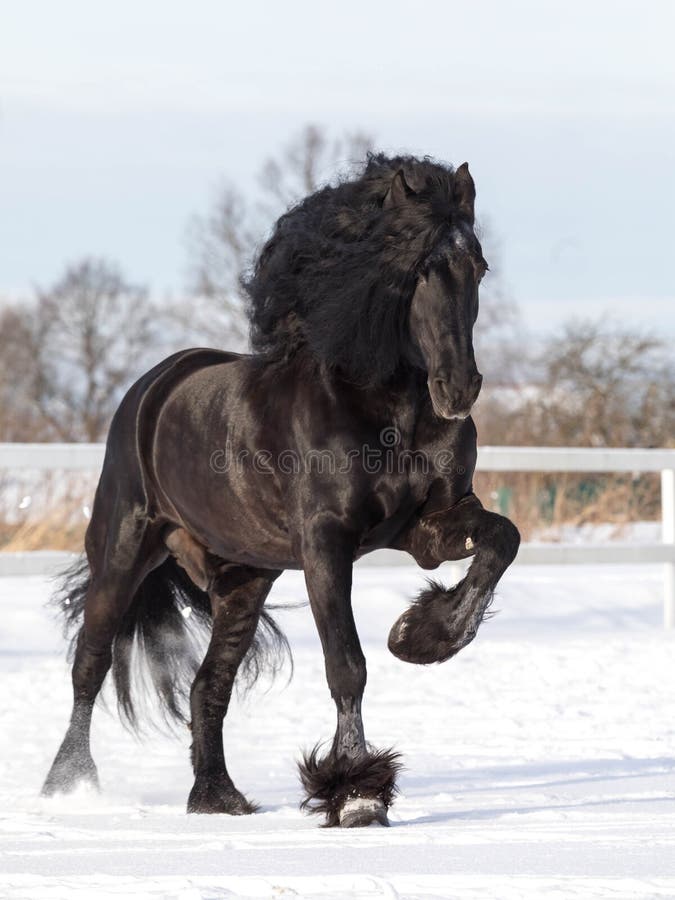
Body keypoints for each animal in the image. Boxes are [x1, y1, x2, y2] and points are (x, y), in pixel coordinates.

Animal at [42, 153, 520, 828]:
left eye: (477, 265)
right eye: (416, 270)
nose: (459, 389)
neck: (388, 408)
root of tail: (154, 386)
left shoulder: (429, 527)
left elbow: (502, 540)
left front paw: (422, 637)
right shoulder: (326, 542)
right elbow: (347, 665)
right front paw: (358, 794)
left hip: (245, 577)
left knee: (207, 685)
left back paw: (218, 798)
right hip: (123, 550)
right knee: (91, 663)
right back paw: (69, 788)